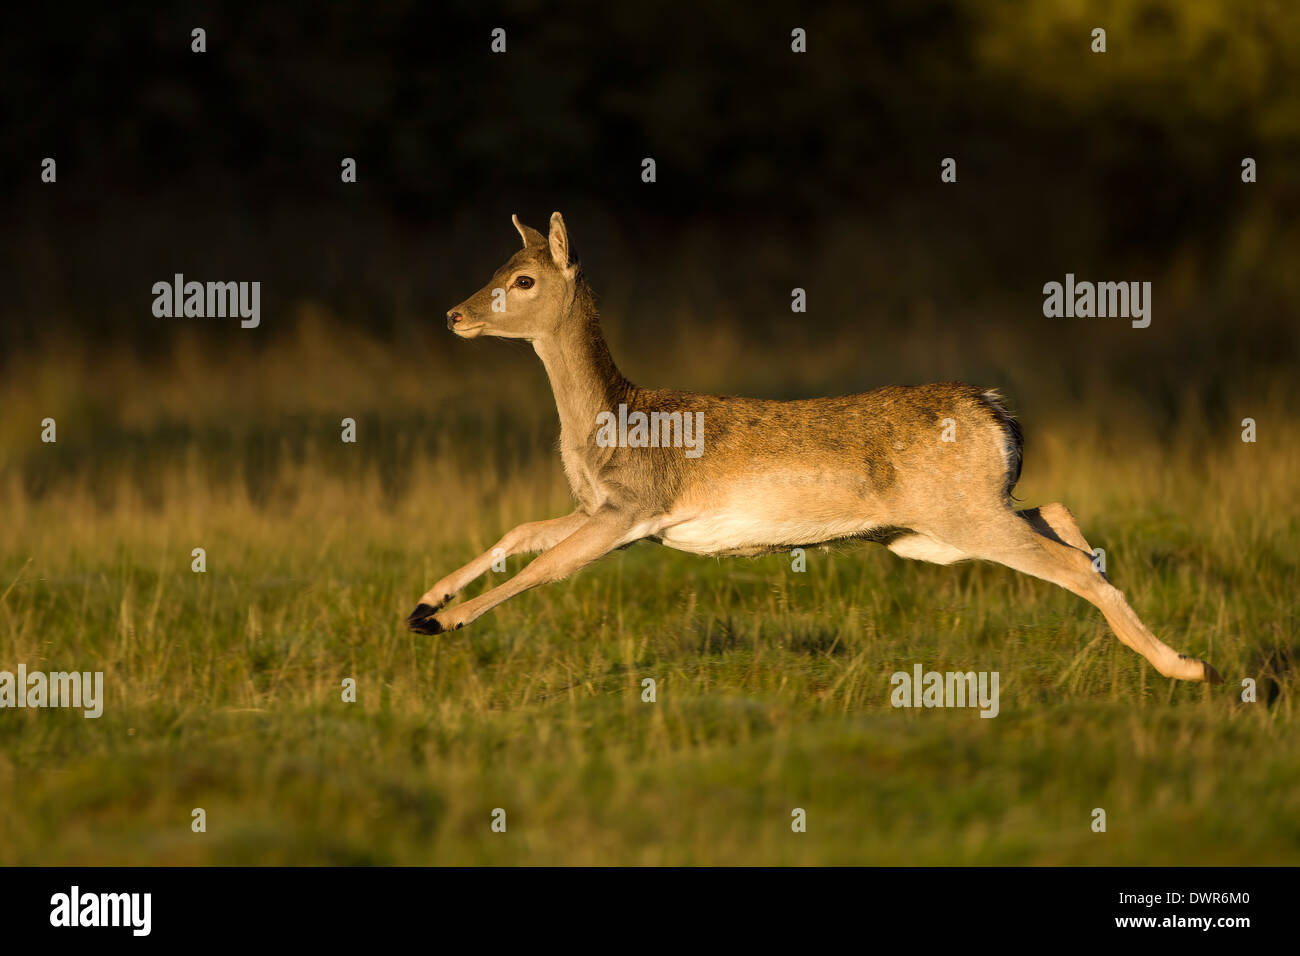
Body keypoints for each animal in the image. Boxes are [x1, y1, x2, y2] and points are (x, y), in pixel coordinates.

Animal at [407, 212, 1222, 685]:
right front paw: (422, 603)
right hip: (940, 528)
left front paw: (444, 622)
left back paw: (1188, 667)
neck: (613, 421)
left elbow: (542, 569)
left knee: (1074, 566)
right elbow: (519, 532)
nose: (453, 315)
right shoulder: (606, 511)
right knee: (1058, 516)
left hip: (961, 516)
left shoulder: (632, 510)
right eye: (495, 268)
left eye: (522, 278)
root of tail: (998, 413)